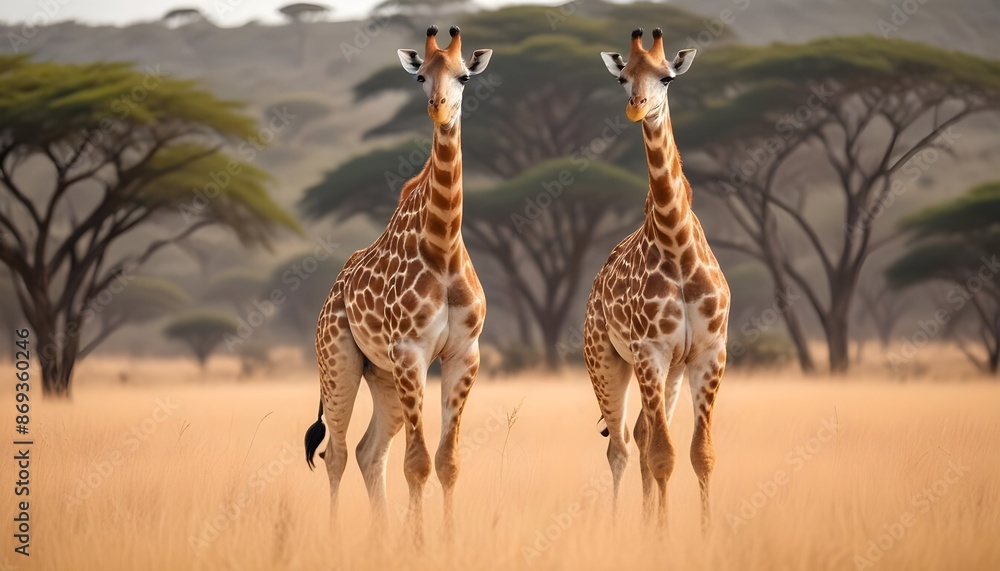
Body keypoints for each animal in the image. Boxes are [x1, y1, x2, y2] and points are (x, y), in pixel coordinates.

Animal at [303, 25, 492, 542]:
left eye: (465, 76)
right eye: (420, 76)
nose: (439, 107)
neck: (442, 247)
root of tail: (331, 295)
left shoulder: (464, 354)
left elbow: (447, 462)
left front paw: (445, 540)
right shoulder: (411, 353)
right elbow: (418, 463)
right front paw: (420, 543)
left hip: (381, 375)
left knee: (369, 452)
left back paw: (380, 537)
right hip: (339, 363)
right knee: (337, 453)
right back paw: (335, 538)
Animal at [585, 27, 730, 531]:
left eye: (666, 76)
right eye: (623, 77)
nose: (637, 105)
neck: (677, 247)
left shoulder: (708, 352)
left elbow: (701, 453)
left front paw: (704, 532)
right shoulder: (650, 352)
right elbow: (664, 454)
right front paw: (663, 535)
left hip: (672, 372)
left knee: (643, 433)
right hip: (607, 362)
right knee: (622, 446)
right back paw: (618, 524)